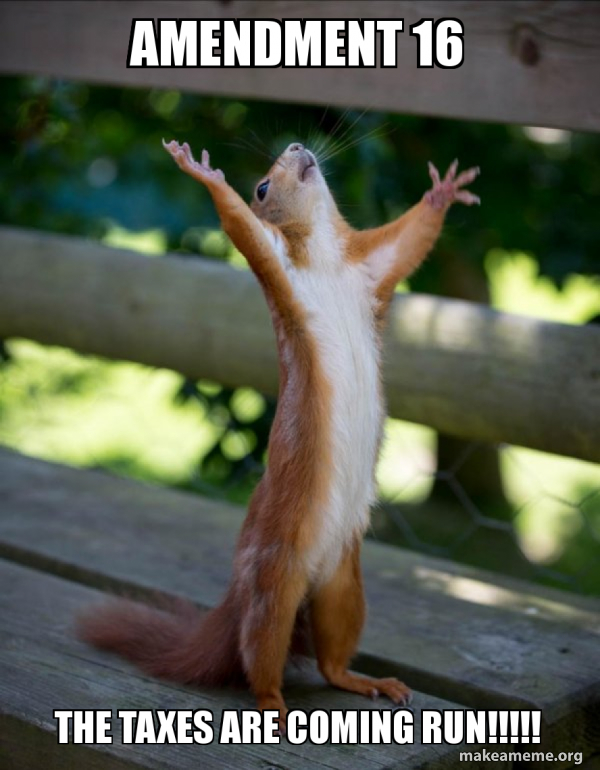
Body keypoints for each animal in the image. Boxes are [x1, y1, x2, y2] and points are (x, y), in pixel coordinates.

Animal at [78, 138, 479, 732]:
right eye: (262, 187)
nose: (296, 147)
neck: (326, 256)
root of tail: (239, 595)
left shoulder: (371, 267)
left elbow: (409, 240)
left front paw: (443, 192)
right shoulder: (277, 265)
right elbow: (240, 226)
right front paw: (204, 174)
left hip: (344, 587)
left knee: (331, 660)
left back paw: (367, 681)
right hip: (274, 583)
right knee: (259, 655)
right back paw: (273, 704)